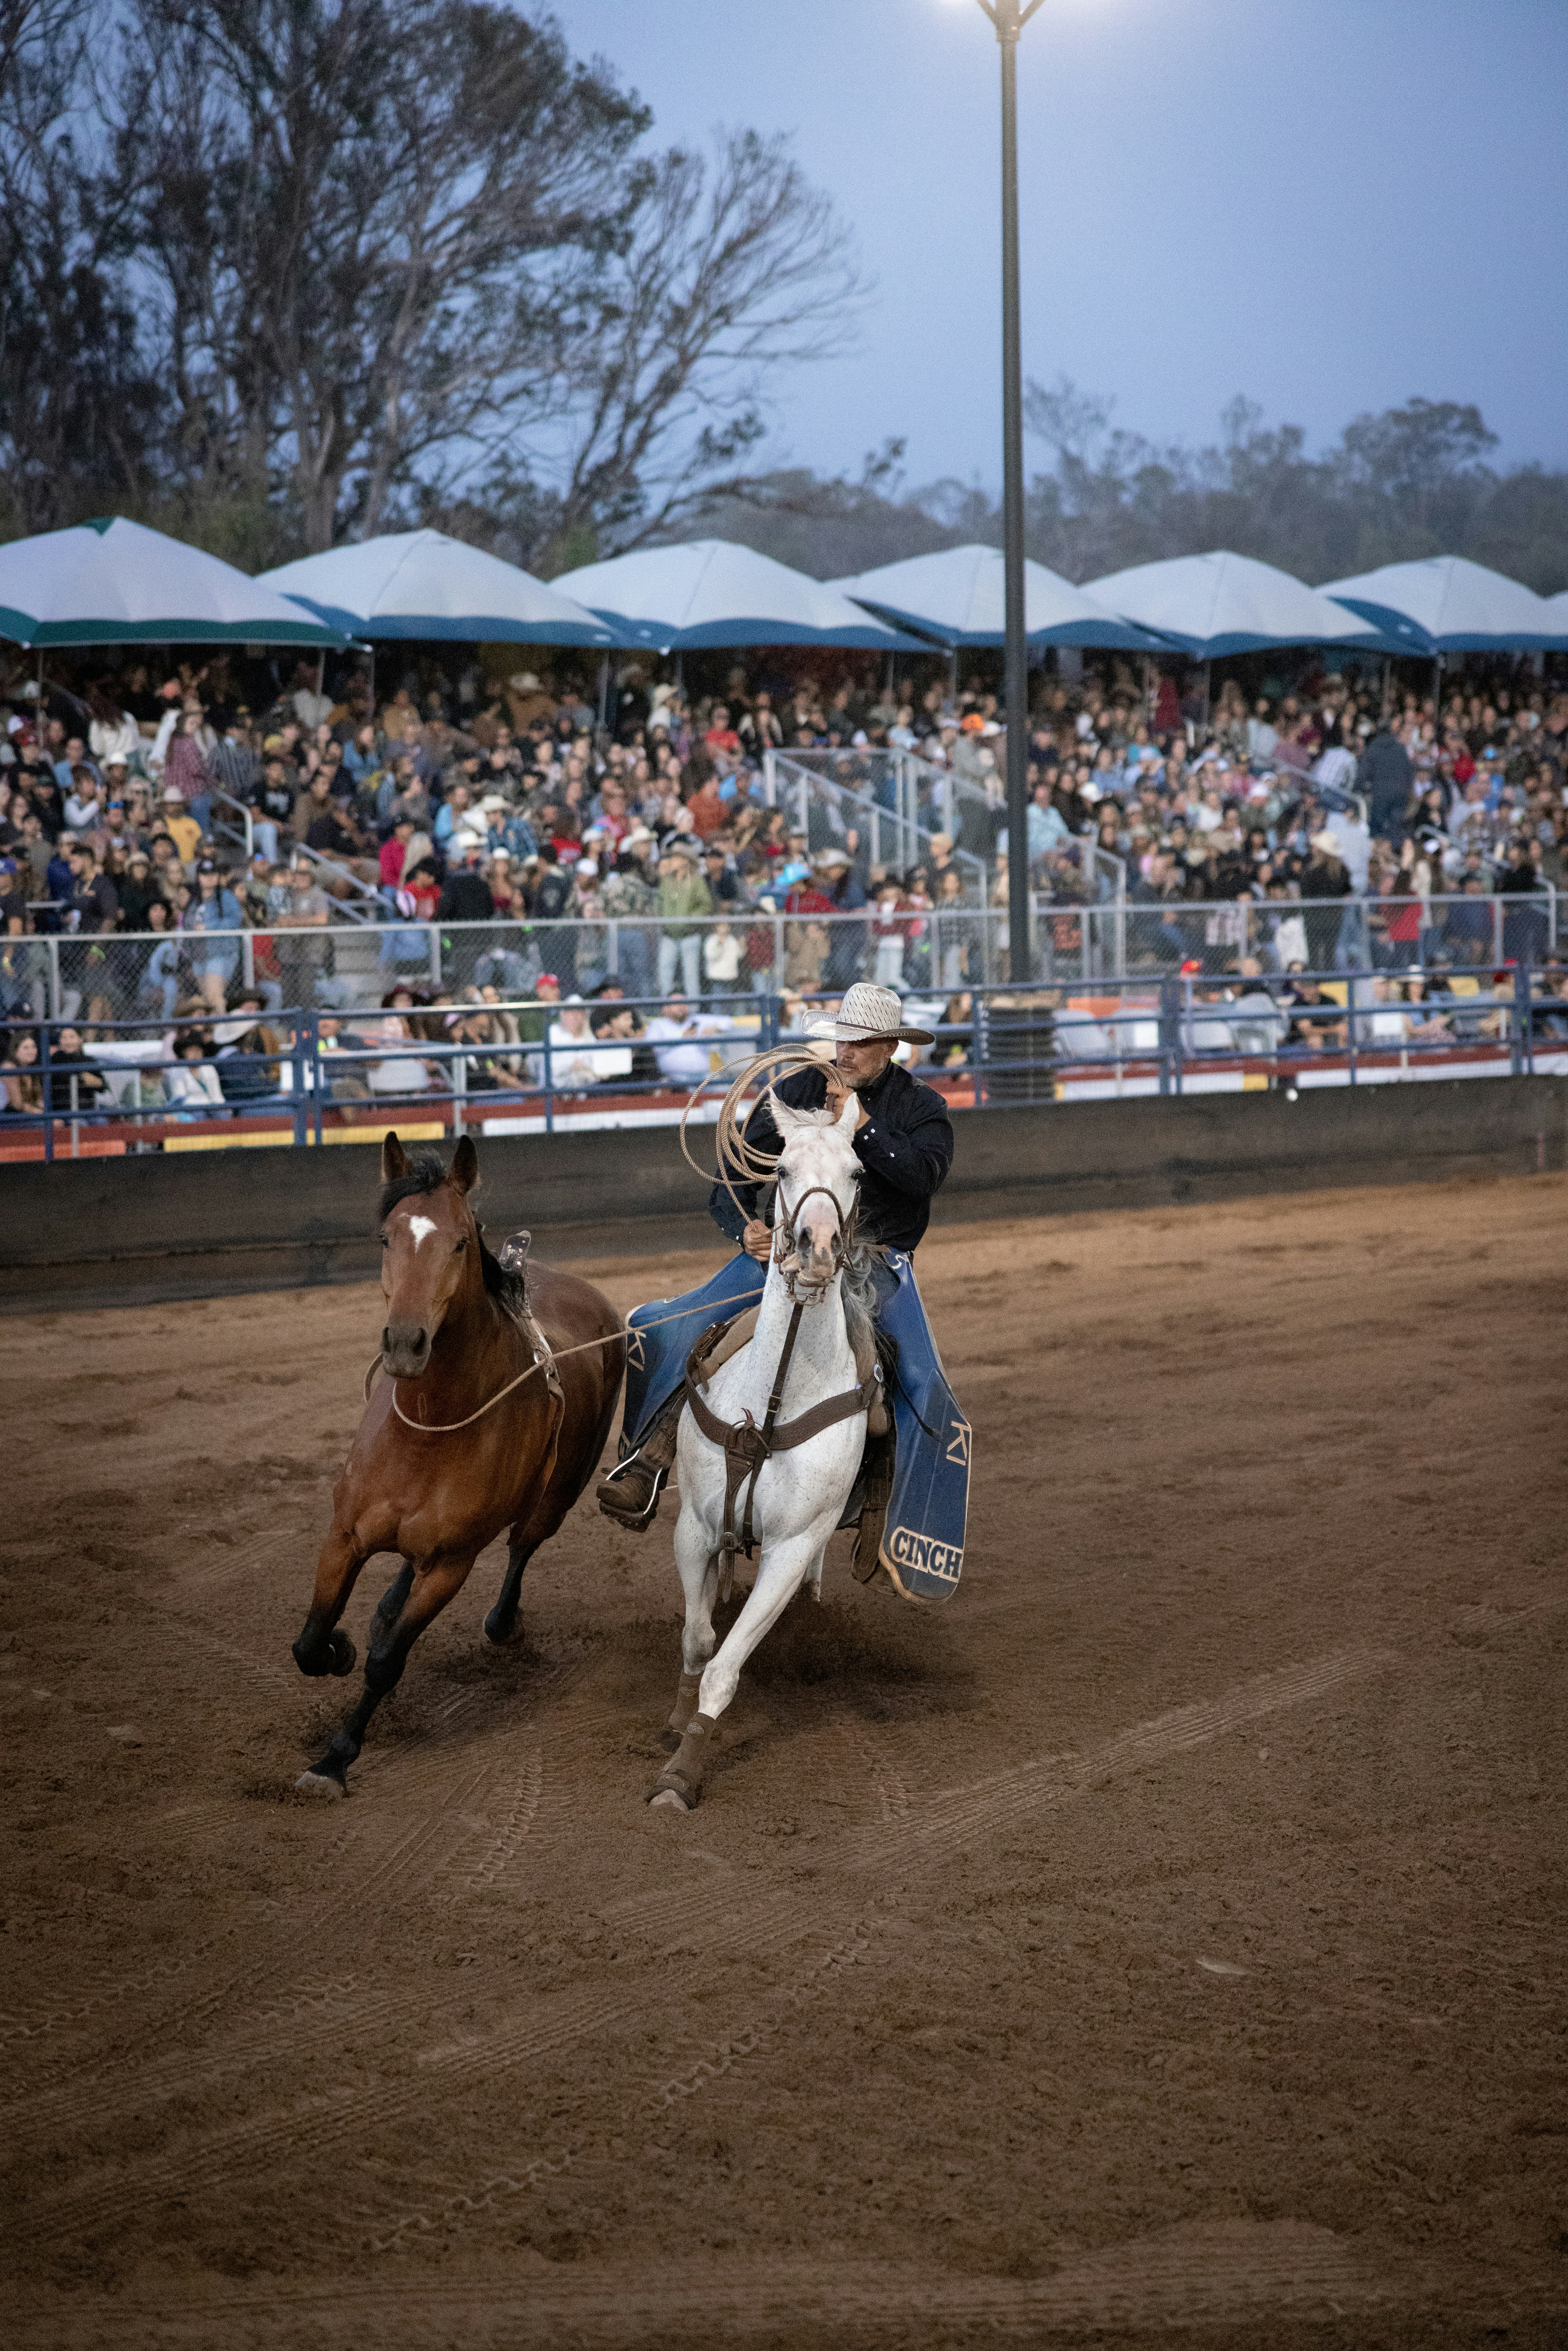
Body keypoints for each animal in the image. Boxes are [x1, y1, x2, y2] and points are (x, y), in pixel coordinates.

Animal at [290, 1131, 625, 1795]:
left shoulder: (451, 1566)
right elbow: (311, 1641)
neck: (426, 1432)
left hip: (556, 1497)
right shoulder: (343, 1536)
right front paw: (339, 1648)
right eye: (386, 1238)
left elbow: (388, 1662)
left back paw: (503, 1620)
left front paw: (335, 1759)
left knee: (523, 1546)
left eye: (460, 1241)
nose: (404, 1343)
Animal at [651, 1090, 879, 1812]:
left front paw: (679, 1777)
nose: (816, 1249)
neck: (774, 1398)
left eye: (857, 1172)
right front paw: (674, 1725)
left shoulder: (791, 1548)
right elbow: (697, 1638)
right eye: (779, 1169)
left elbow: (724, 1668)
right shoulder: (695, 1528)